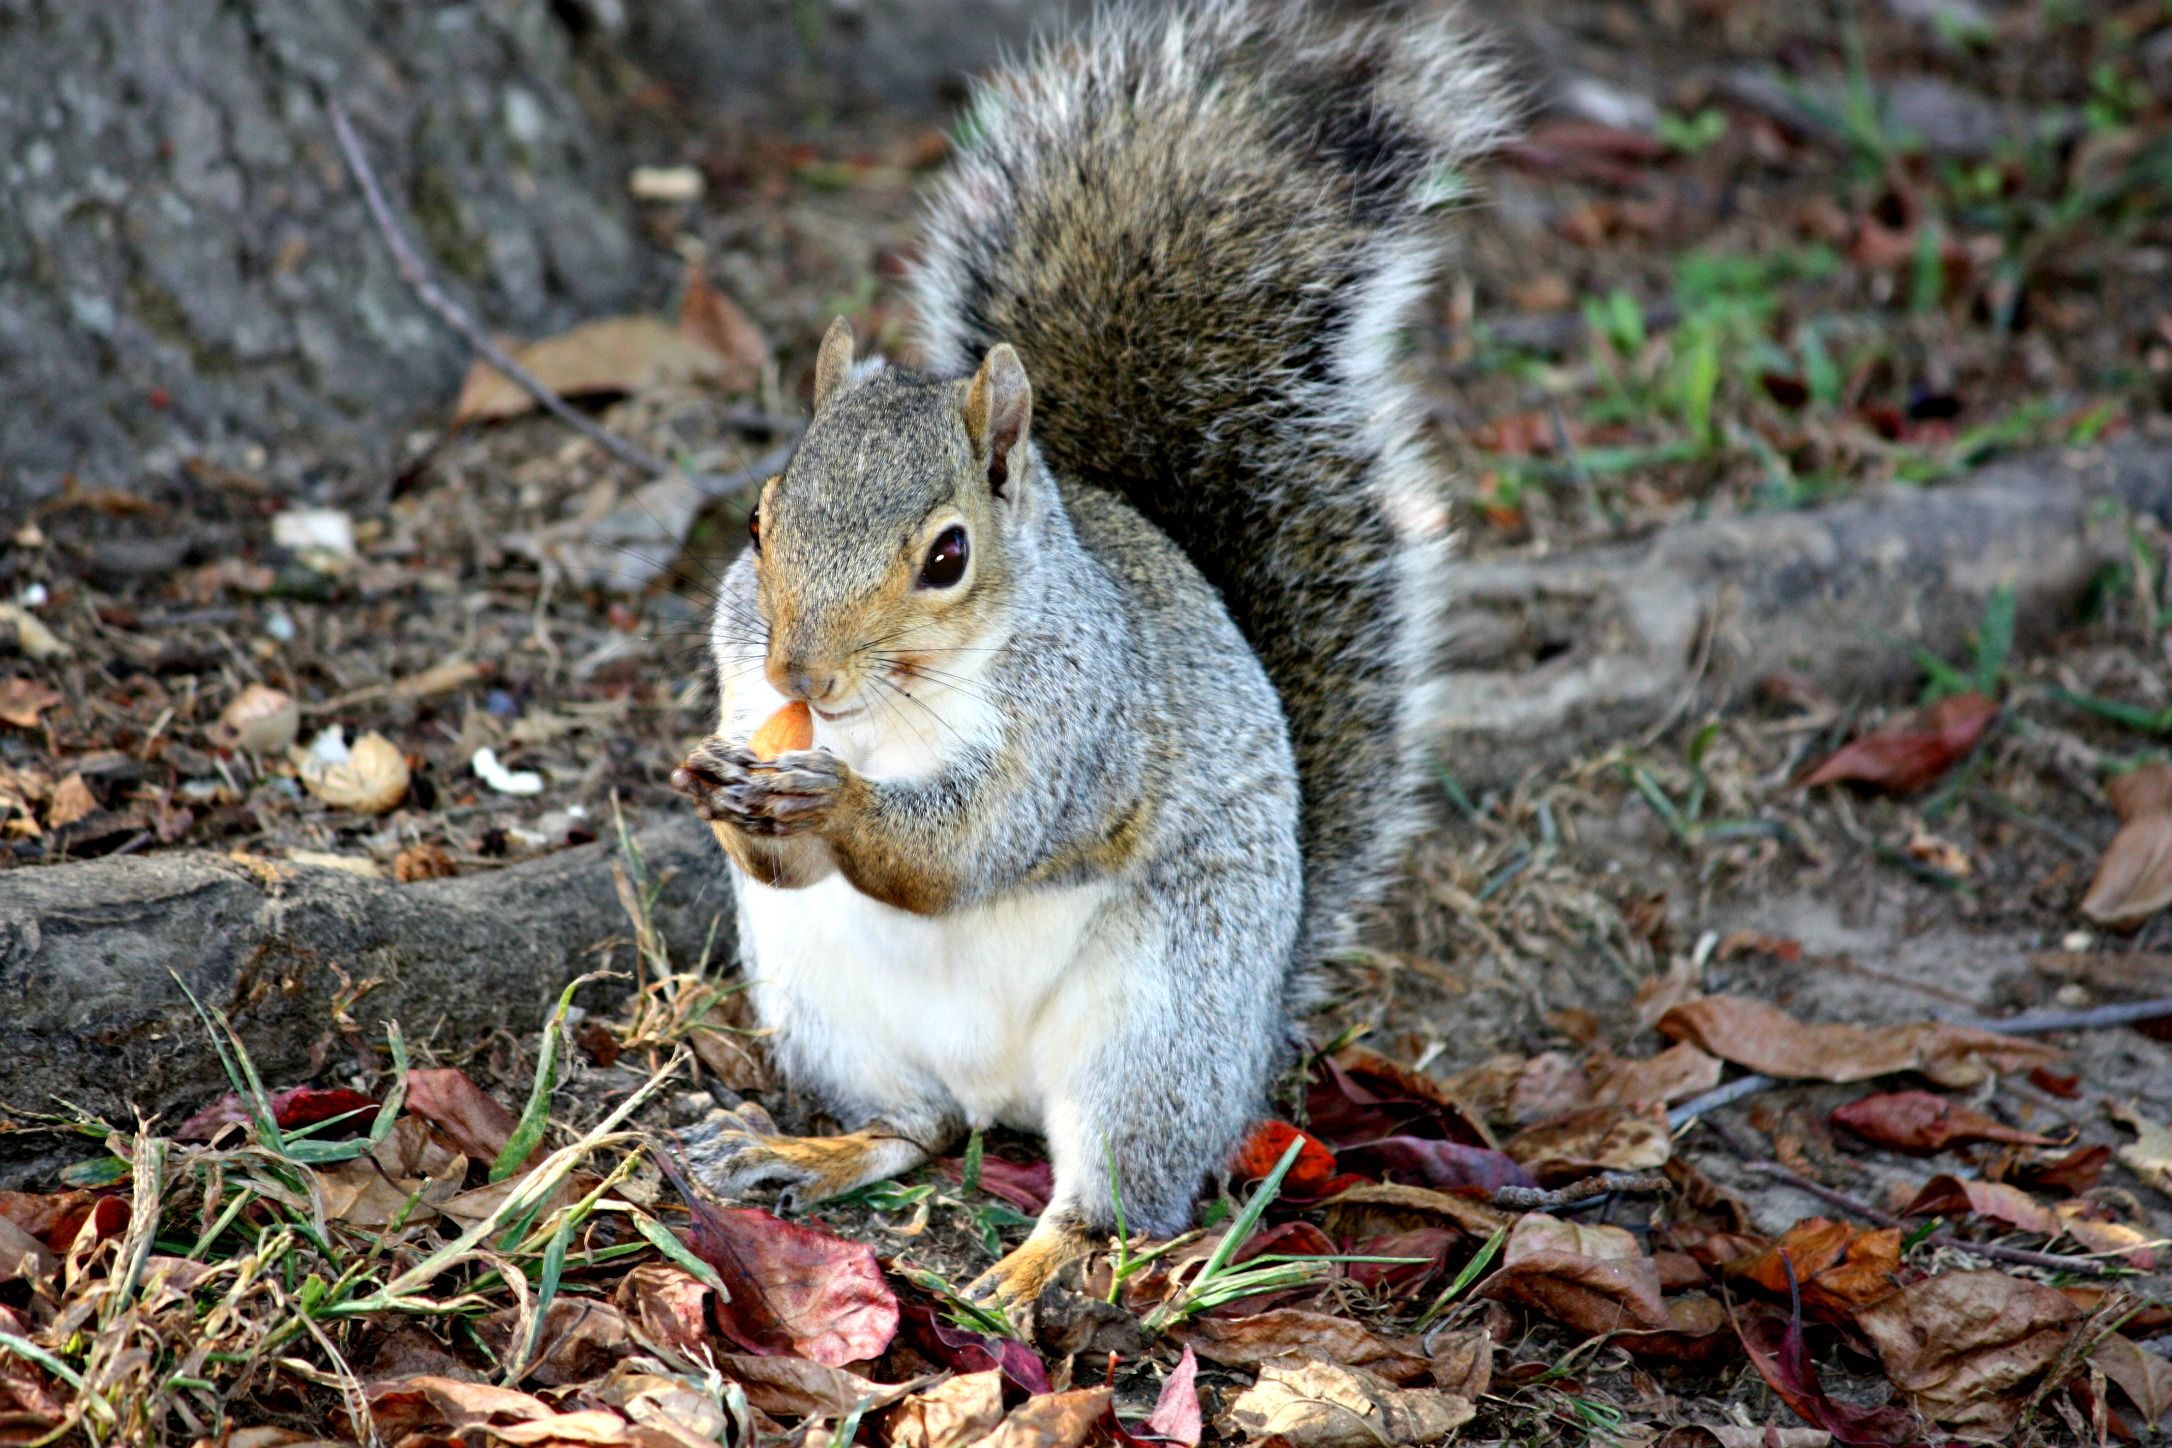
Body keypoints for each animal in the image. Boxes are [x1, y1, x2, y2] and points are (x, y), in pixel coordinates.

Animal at [669, 0, 1513, 1310]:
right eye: (760, 521)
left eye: (949, 555)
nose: (803, 679)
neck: (889, 713)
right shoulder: (739, 665)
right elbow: (785, 858)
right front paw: (718, 782)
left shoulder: (1081, 724)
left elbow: (965, 848)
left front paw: (838, 801)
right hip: (825, 1005)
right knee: (918, 1126)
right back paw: (800, 1149)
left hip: (1156, 1023)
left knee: (1116, 1196)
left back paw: (1025, 1270)